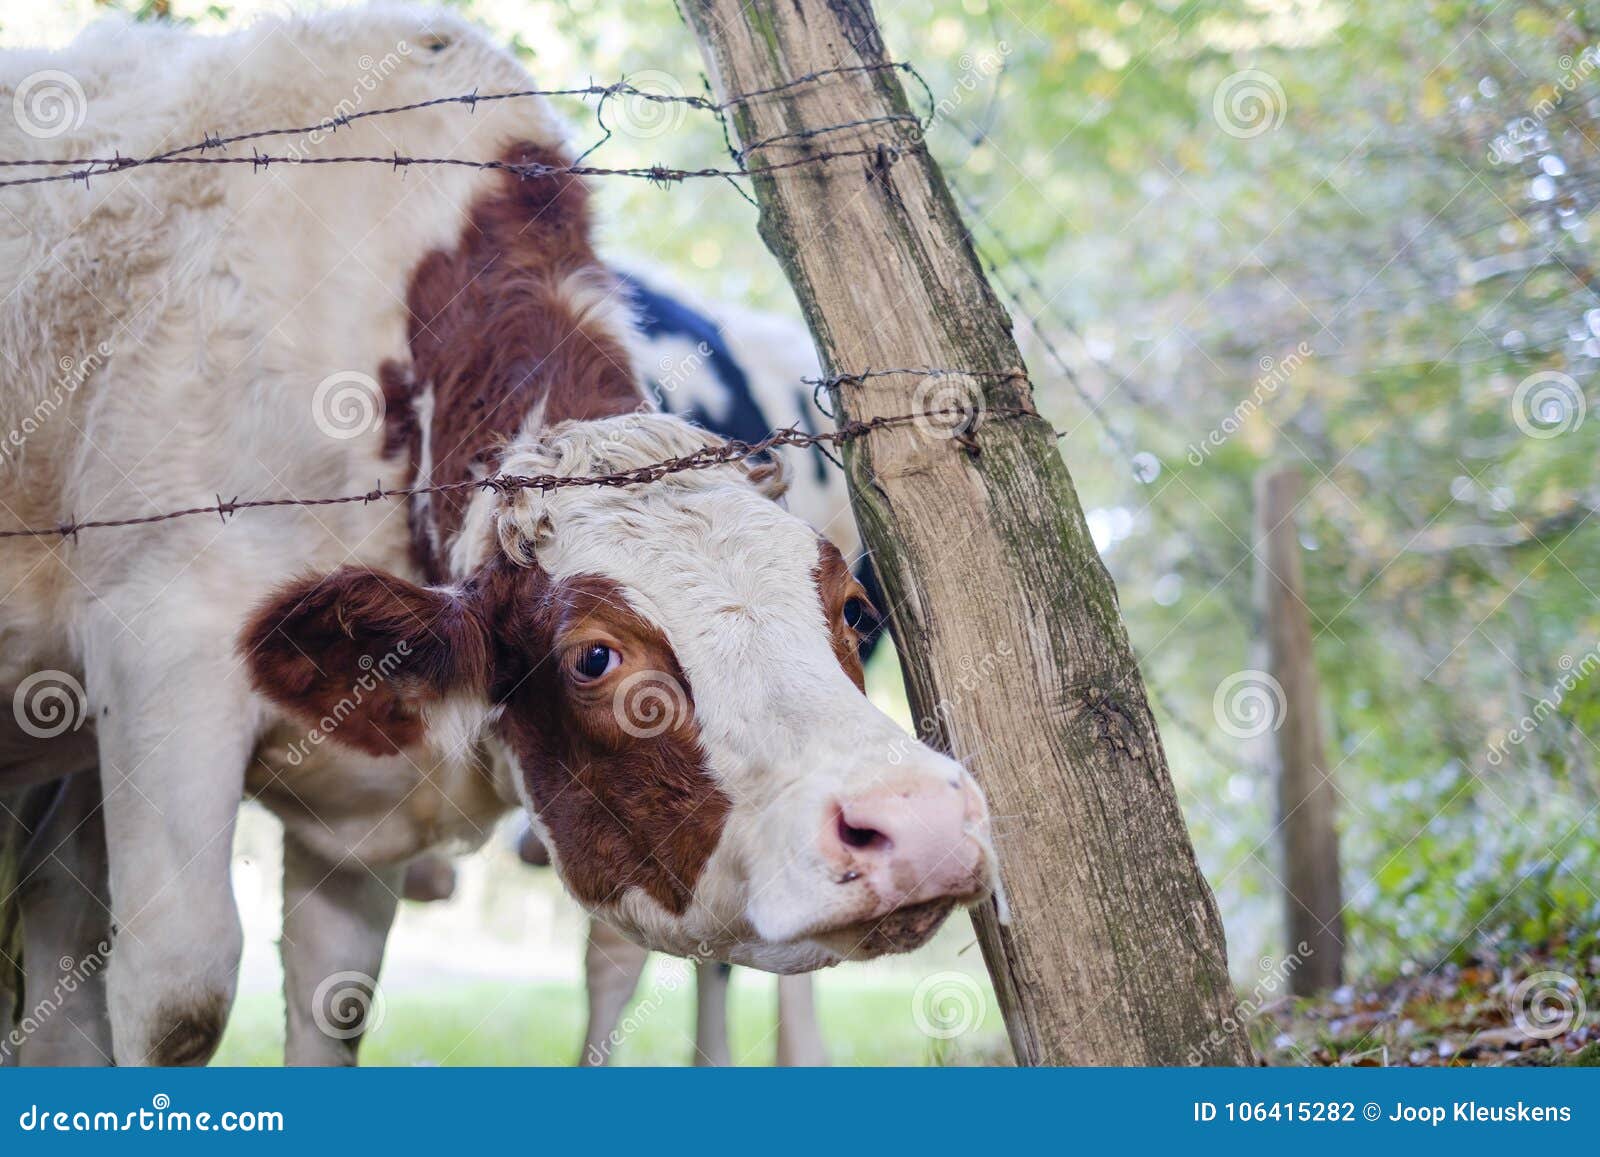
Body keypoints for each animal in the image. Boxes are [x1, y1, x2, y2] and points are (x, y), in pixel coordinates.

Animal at [0, 7, 997, 1067]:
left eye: (851, 607)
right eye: (595, 657)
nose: (920, 819)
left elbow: (332, 1002)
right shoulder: (163, 653)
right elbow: (173, 994)